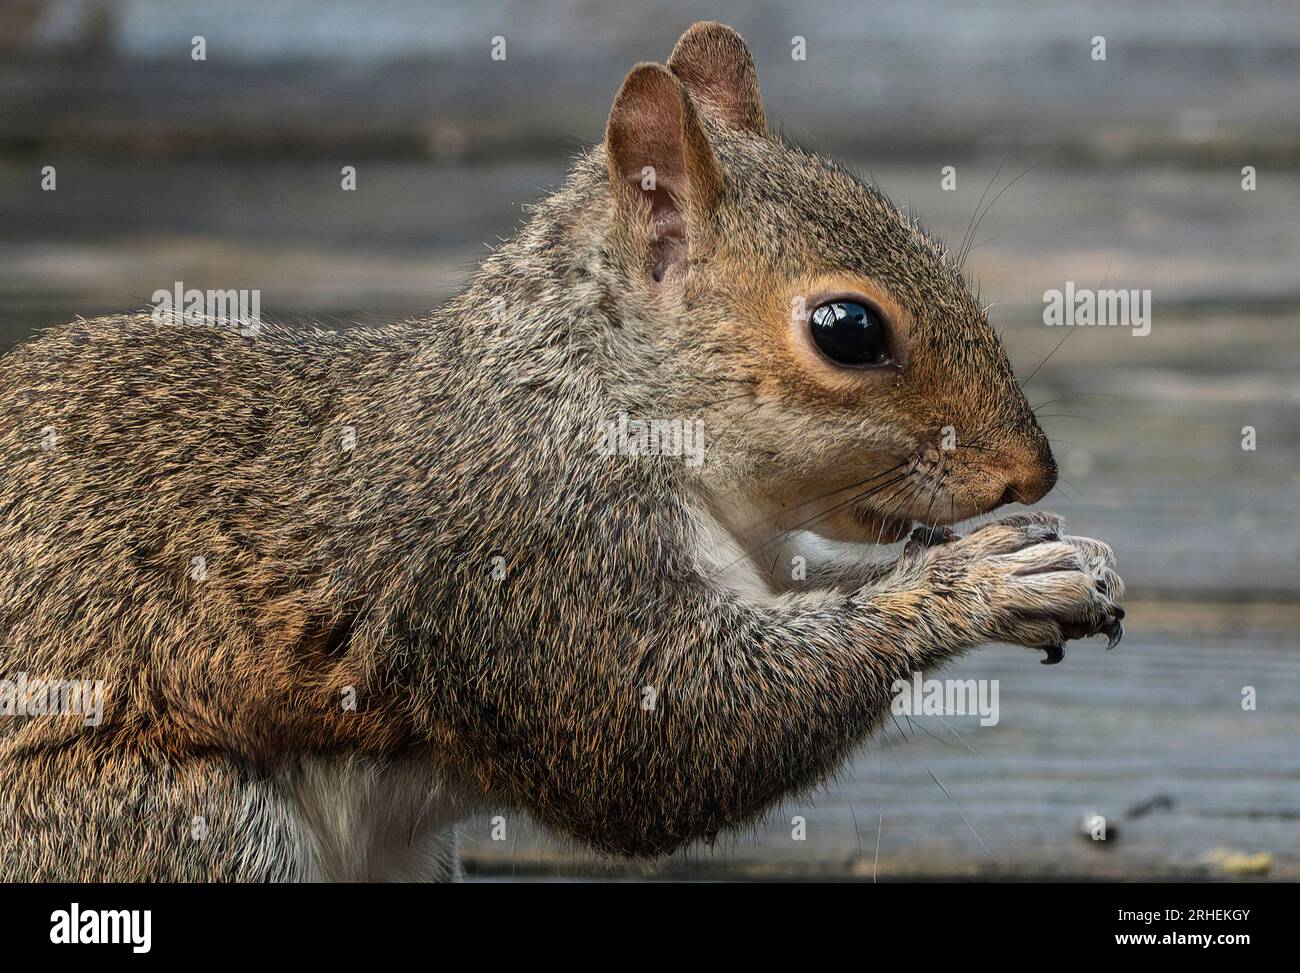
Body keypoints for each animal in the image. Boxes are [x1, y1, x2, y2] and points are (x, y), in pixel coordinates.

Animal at [0, 22, 1124, 881]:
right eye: (847, 329)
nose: (1030, 472)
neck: (592, 389)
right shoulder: (529, 549)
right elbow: (671, 730)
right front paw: (986, 579)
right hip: (170, 819)